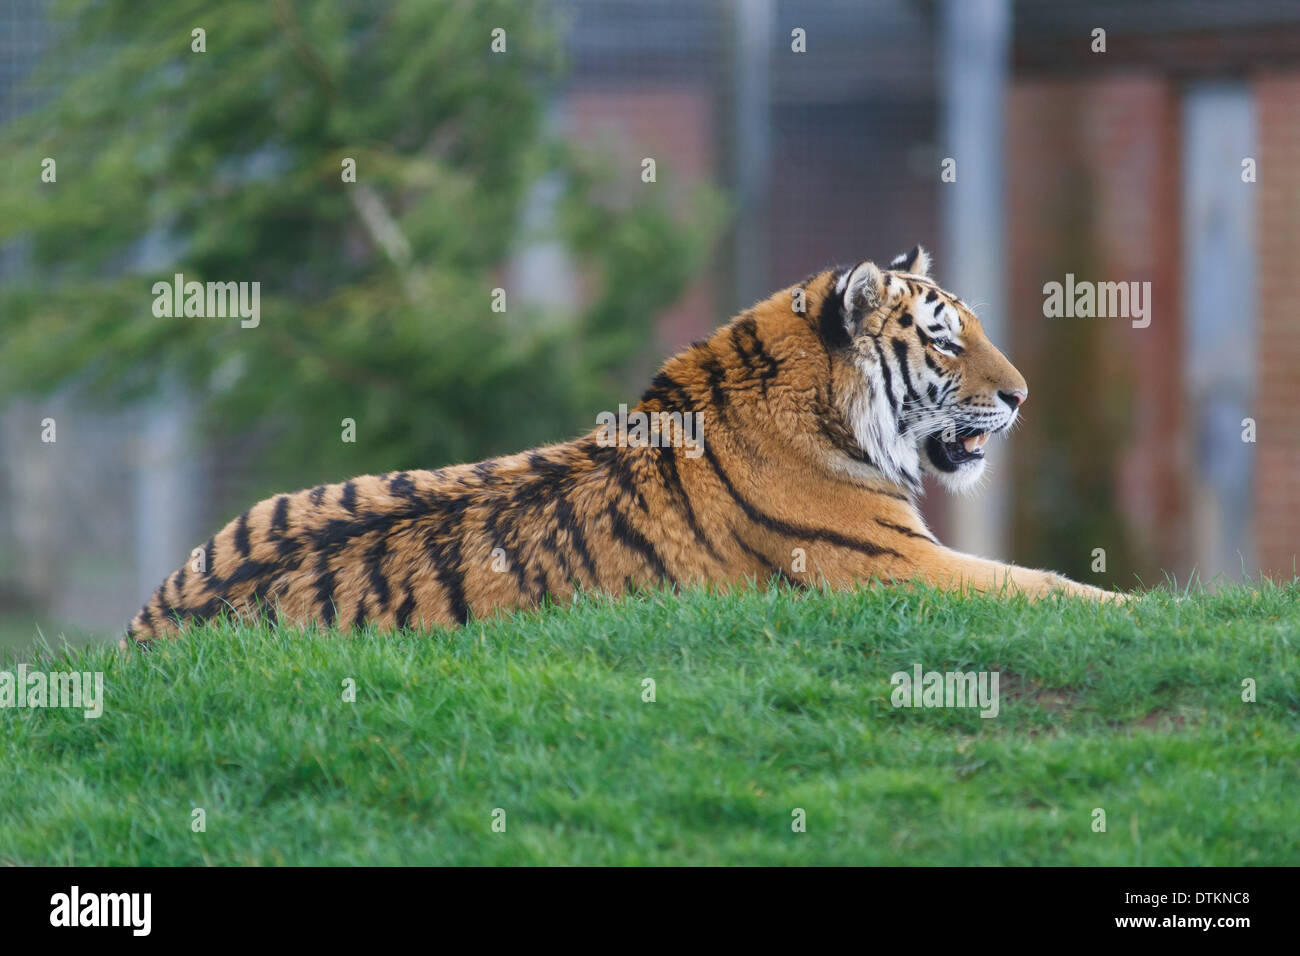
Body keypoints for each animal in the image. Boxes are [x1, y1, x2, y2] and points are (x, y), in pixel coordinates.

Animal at [123, 245, 1122, 648]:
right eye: (947, 341)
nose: (1021, 396)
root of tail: (148, 630)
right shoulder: (901, 570)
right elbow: (1050, 587)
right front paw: (1142, 608)